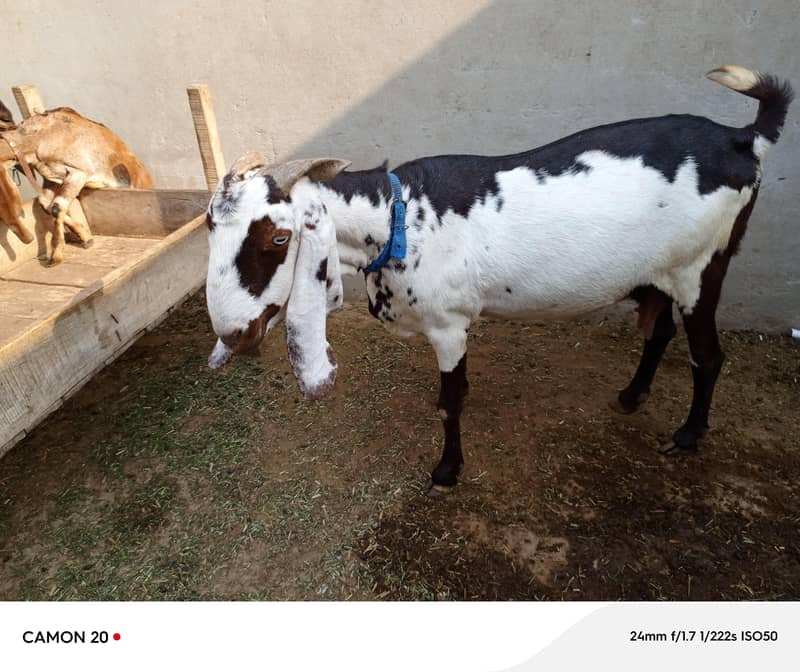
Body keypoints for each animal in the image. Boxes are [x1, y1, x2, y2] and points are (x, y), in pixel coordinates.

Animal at [0, 104, 153, 263]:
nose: (27, 238)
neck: (40, 138)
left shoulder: (79, 172)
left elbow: (57, 206)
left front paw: (56, 255)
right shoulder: (51, 178)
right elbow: (46, 204)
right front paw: (85, 237)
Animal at [204, 66, 793, 494]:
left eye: (279, 238)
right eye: (210, 225)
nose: (234, 335)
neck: (398, 217)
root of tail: (746, 140)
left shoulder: (448, 326)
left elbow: (450, 402)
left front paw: (446, 472)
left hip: (701, 266)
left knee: (707, 355)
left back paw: (688, 434)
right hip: (657, 270)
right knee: (660, 331)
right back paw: (631, 396)